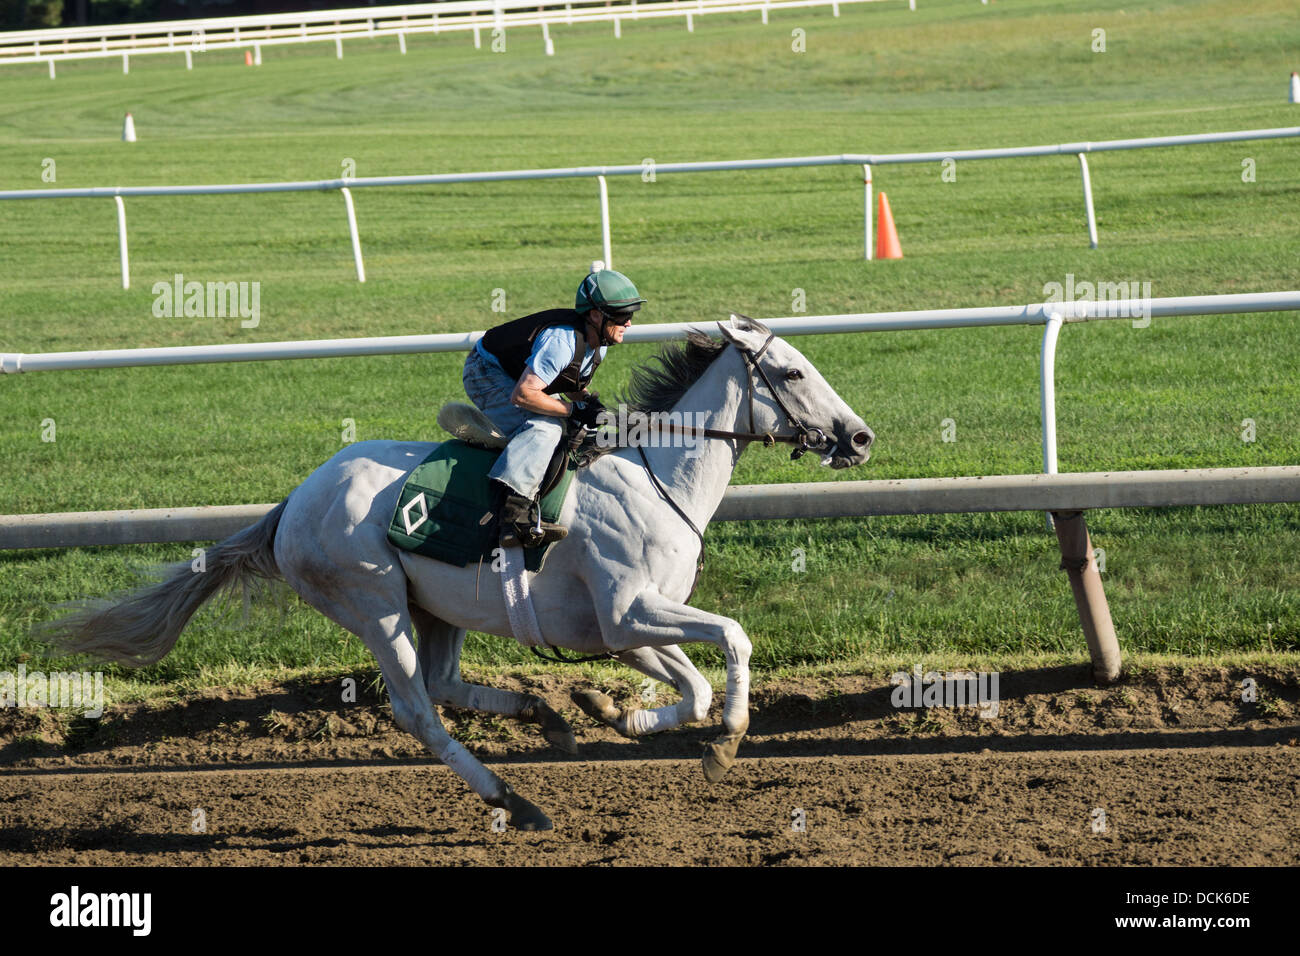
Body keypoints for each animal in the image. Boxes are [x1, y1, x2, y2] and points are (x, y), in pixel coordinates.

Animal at [43, 316, 874, 831]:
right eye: (793, 371)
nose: (860, 437)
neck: (654, 475)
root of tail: (294, 502)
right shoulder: (629, 610)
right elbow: (732, 640)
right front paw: (725, 742)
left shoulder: (624, 626)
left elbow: (692, 686)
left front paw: (610, 712)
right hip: (375, 603)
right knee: (418, 710)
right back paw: (514, 797)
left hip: (435, 608)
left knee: (444, 683)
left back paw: (547, 718)